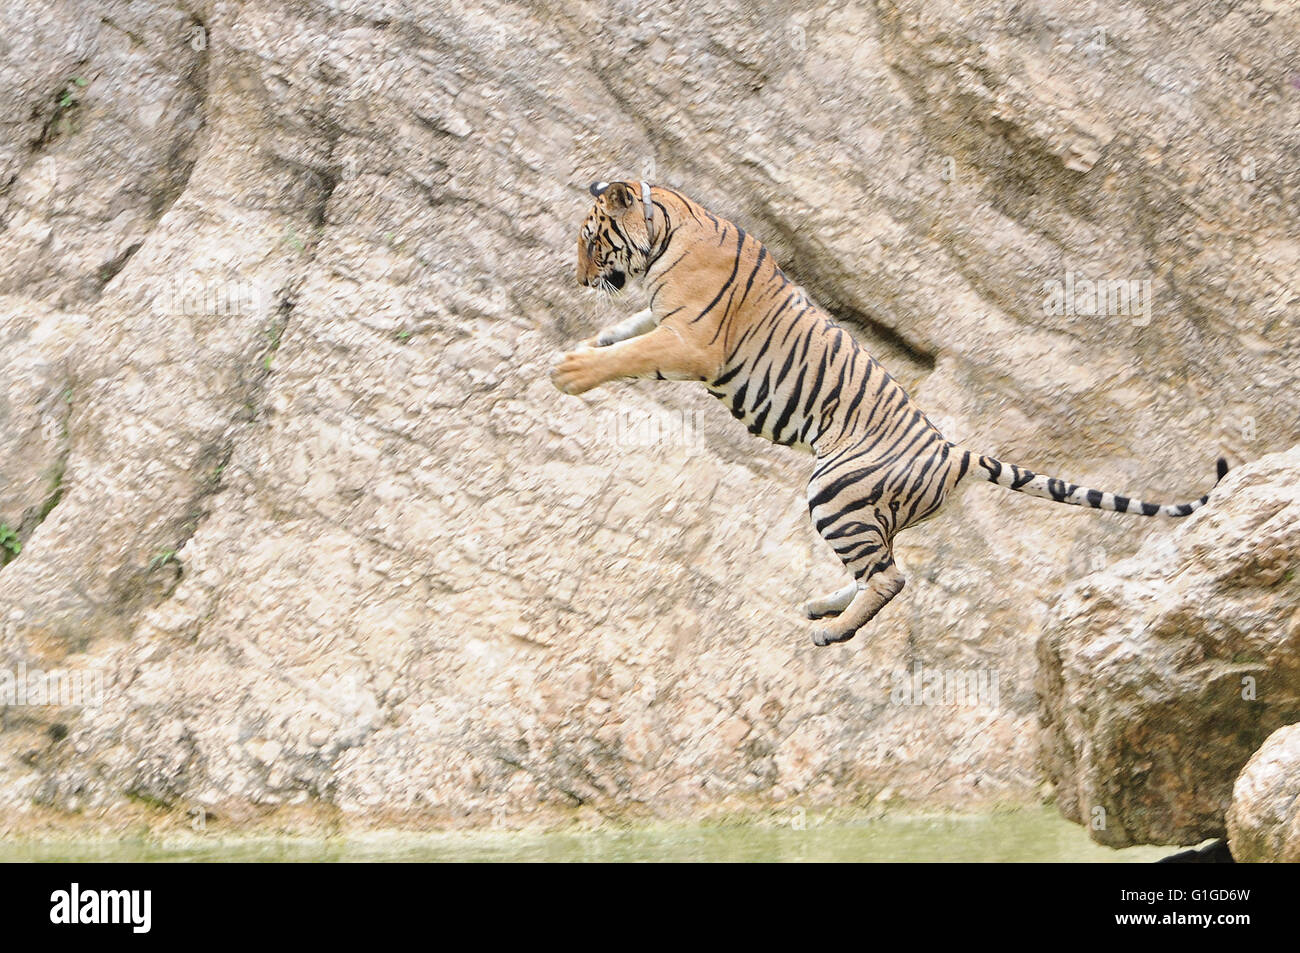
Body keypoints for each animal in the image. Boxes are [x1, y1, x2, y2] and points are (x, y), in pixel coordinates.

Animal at [551, 180, 1228, 646]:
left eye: (590, 239)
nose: (581, 280)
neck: (668, 226)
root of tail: (954, 451)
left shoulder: (693, 341)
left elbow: (634, 351)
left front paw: (571, 372)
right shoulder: (664, 321)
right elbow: (628, 332)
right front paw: (588, 344)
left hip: (836, 491)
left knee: (890, 578)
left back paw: (832, 631)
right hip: (864, 512)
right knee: (876, 567)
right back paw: (825, 606)